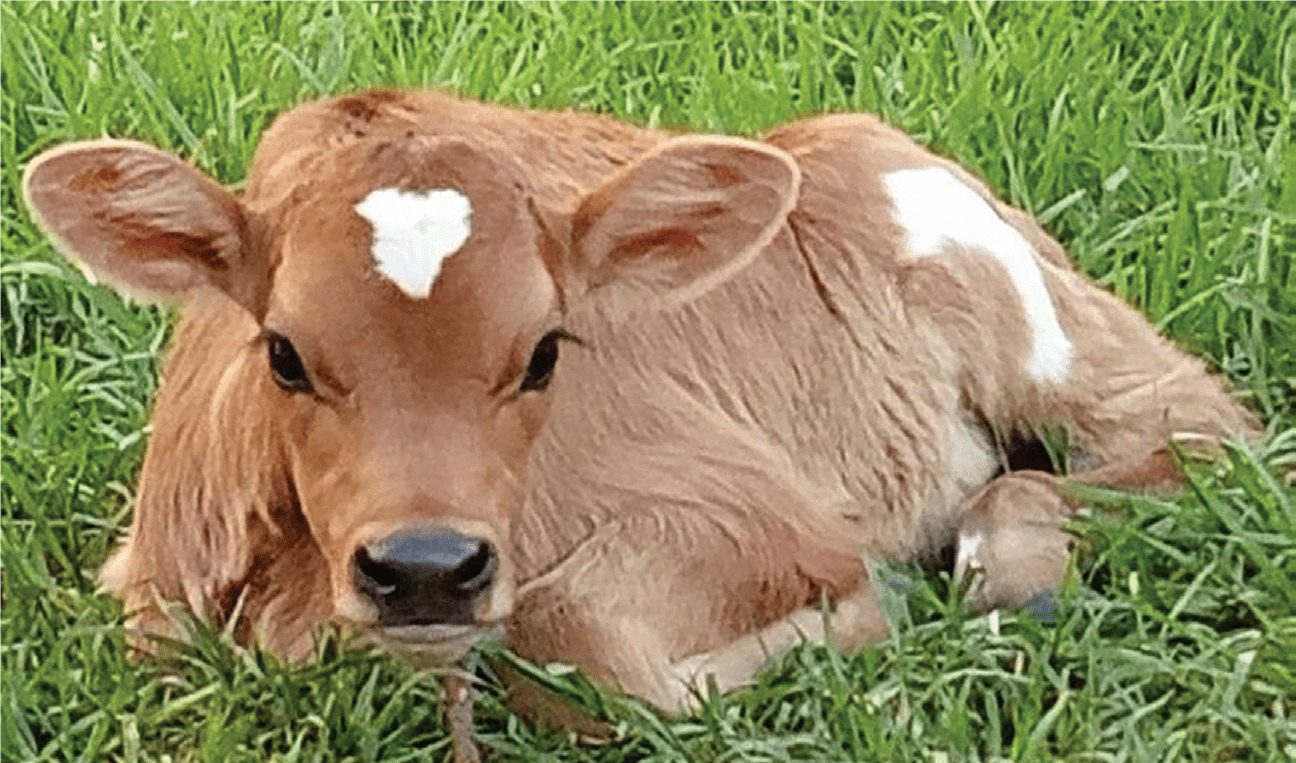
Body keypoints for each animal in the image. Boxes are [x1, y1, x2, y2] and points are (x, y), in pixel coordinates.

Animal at [23, 89, 1256, 715]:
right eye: (281, 351)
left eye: (546, 351)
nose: (425, 567)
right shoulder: (152, 591)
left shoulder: (758, 517)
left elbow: (573, 634)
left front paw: (858, 618)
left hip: (1038, 327)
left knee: (1206, 434)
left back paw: (1014, 568)